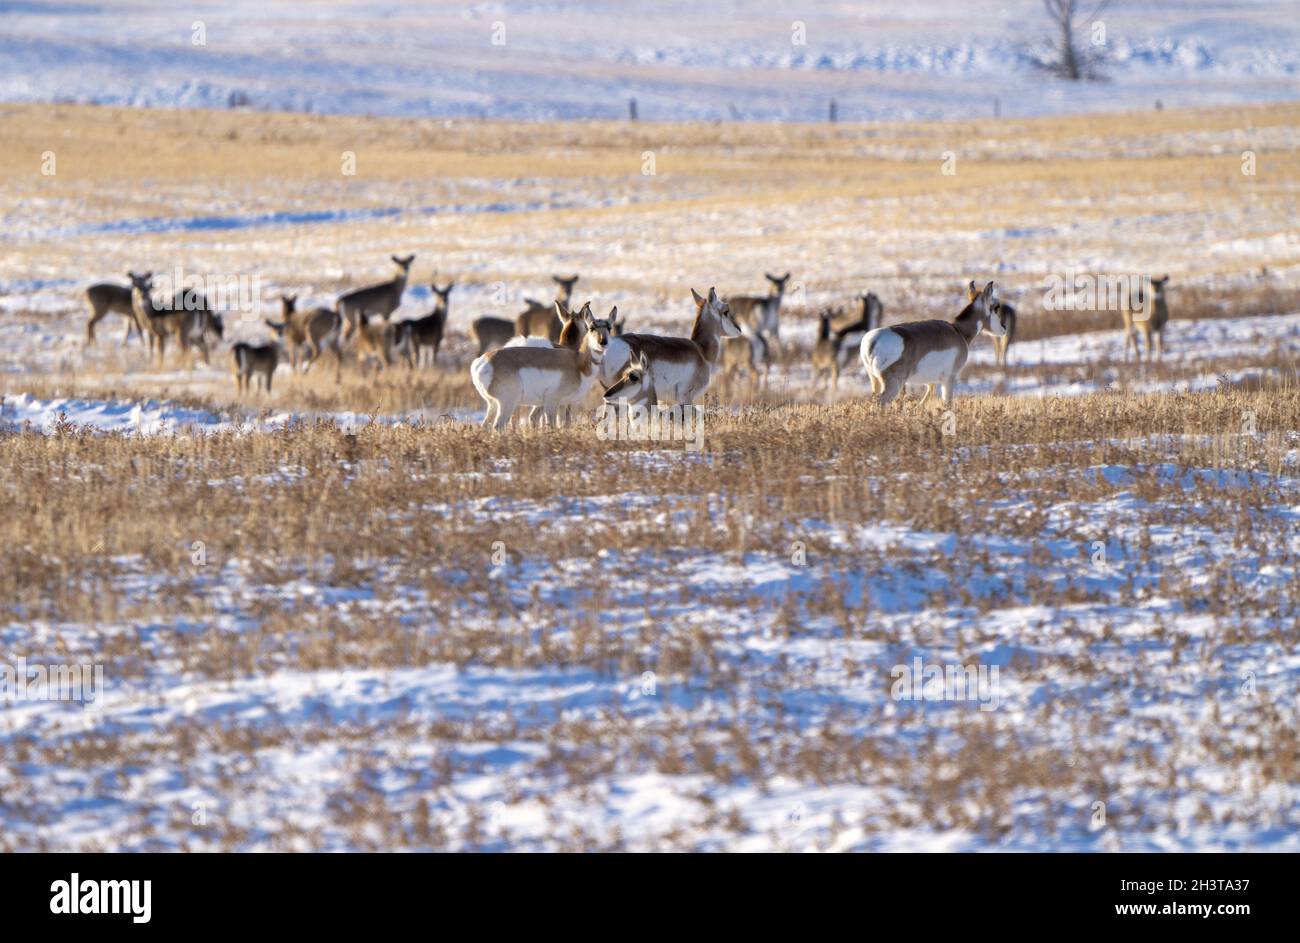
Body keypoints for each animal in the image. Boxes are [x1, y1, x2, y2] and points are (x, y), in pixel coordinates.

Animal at [471, 303, 610, 431]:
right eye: (588, 327)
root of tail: (482, 362)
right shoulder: (556, 403)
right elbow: (559, 422)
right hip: (508, 403)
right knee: (499, 425)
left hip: (494, 404)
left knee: (487, 425)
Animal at [860, 281, 1005, 407]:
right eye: (996, 307)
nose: (1004, 328)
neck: (959, 331)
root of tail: (872, 340)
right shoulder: (948, 380)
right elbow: (948, 404)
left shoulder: (931, 383)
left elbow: (923, 402)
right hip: (893, 385)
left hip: (875, 381)